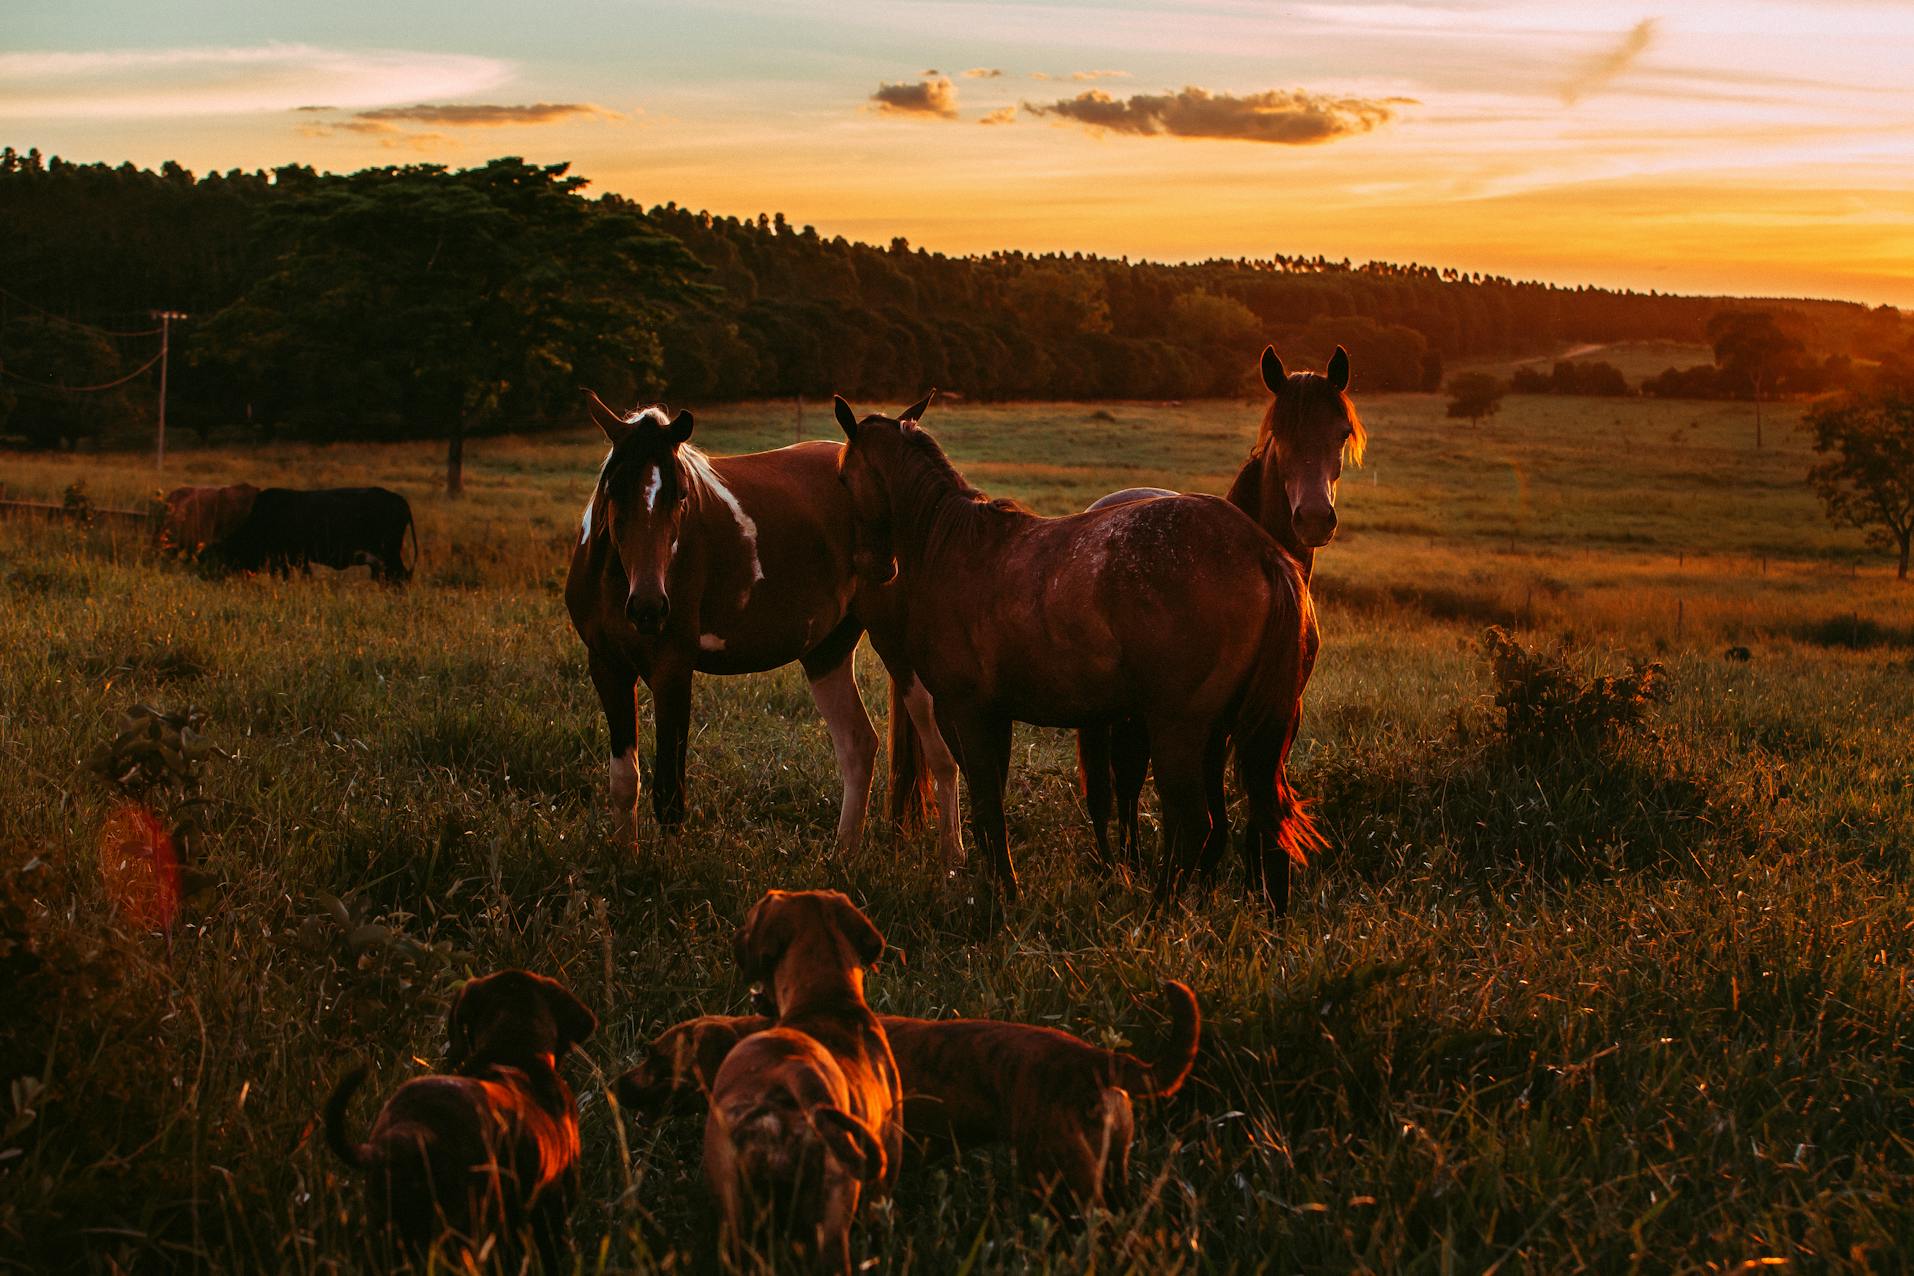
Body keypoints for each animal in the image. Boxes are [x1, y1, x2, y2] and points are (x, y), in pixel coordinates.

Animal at [565, 393, 960, 861]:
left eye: (681, 495)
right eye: (614, 489)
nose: (648, 608)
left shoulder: (672, 671)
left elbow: (669, 793)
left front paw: (666, 868)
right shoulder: (607, 667)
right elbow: (625, 782)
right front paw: (627, 860)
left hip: (901, 652)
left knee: (941, 755)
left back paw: (953, 857)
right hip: (826, 652)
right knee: (859, 745)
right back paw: (844, 855)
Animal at [832, 392, 1319, 908]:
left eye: (843, 478)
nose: (874, 567)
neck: (952, 547)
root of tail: (1263, 552)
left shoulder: (967, 712)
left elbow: (987, 810)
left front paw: (1004, 895)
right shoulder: (994, 716)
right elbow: (991, 809)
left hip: (1180, 729)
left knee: (1192, 826)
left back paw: (1157, 915)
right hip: (1238, 732)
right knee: (1262, 822)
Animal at [1076, 346, 1365, 911]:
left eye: (1341, 432)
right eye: (1279, 432)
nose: (1314, 518)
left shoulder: (1280, 714)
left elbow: (1259, 816)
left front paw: (1256, 892)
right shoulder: (1210, 726)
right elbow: (1215, 821)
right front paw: (1203, 891)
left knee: (1129, 779)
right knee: (1108, 788)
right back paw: (1116, 866)